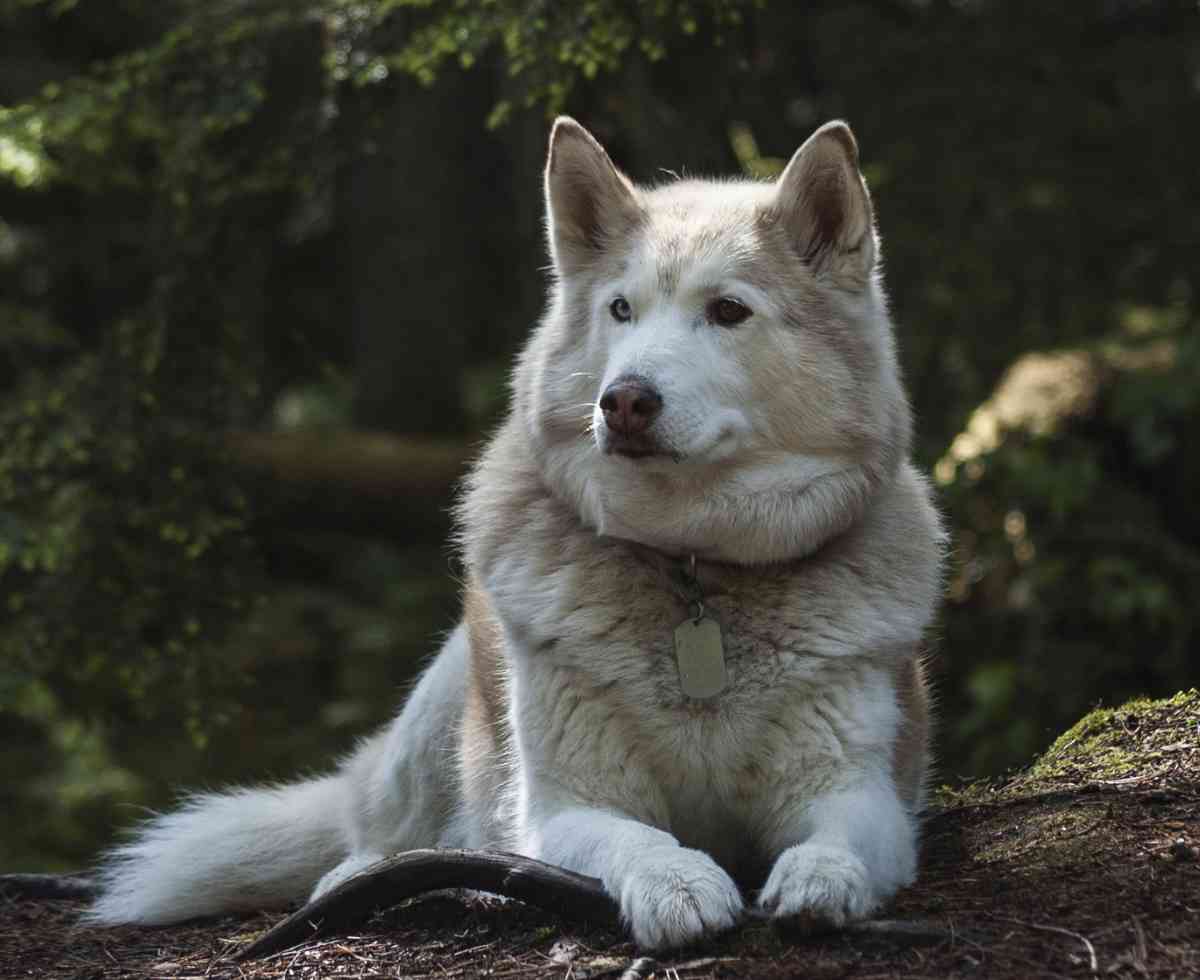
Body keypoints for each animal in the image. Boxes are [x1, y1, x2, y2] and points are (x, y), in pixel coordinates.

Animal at [88, 117, 944, 951]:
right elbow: (638, 840)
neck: (691, 570)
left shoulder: (859, 792)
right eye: (621, 310)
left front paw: (821, 879)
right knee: (382, 836)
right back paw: (377, 878)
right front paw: (677, 884)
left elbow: (838, 840)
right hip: (444, 706)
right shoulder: (563, 809)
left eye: (729, 311)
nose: (624, 401)